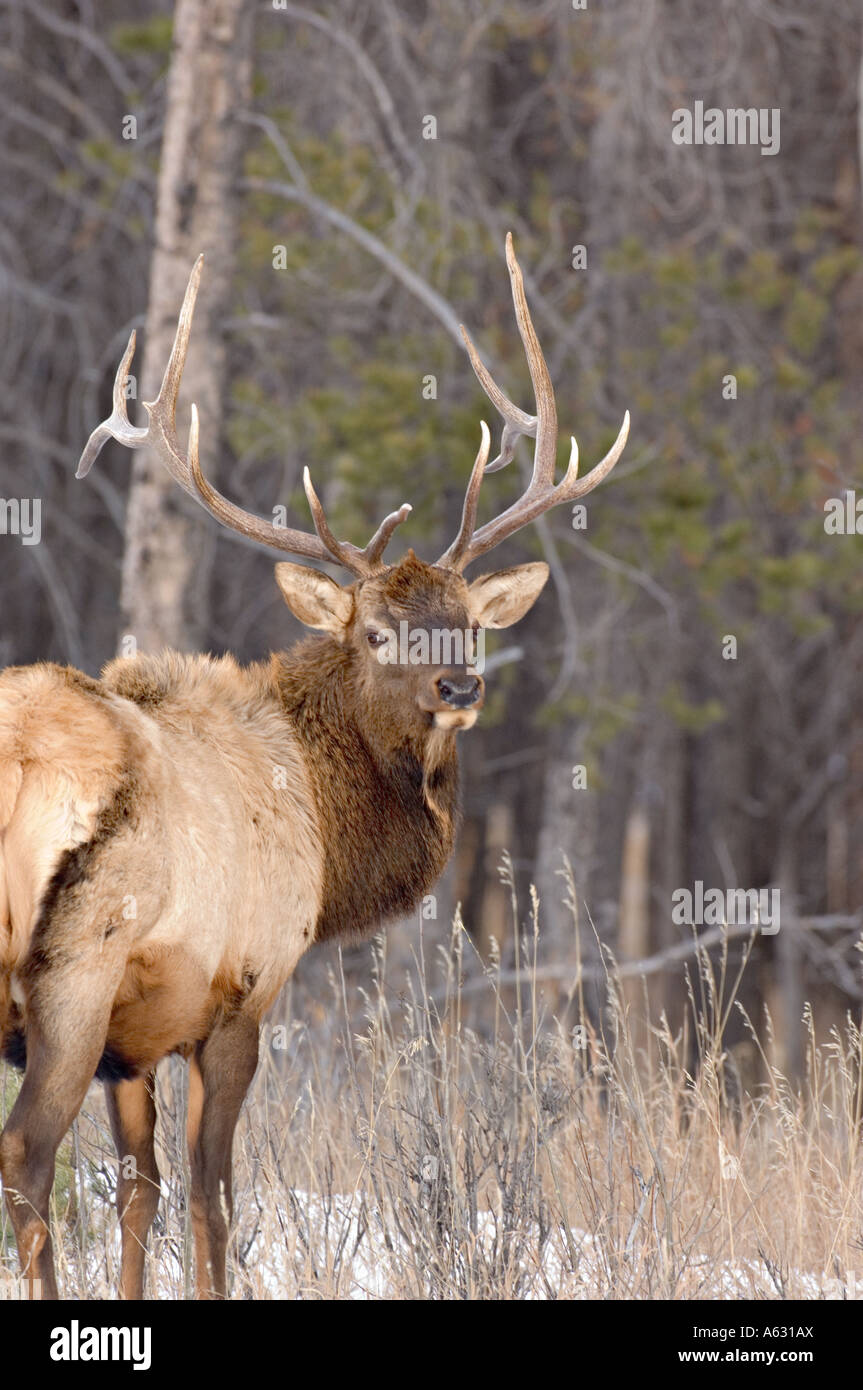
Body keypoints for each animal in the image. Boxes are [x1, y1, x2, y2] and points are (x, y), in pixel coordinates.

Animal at [0, 234, 629, 1300]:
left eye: (465, 623)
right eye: (376, 630)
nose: (460, 685)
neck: (331, 843)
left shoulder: (135, 1045)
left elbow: (139, 1197)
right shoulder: (241, 989)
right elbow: (212, 1198)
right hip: (71, 966)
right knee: (25, 1159)